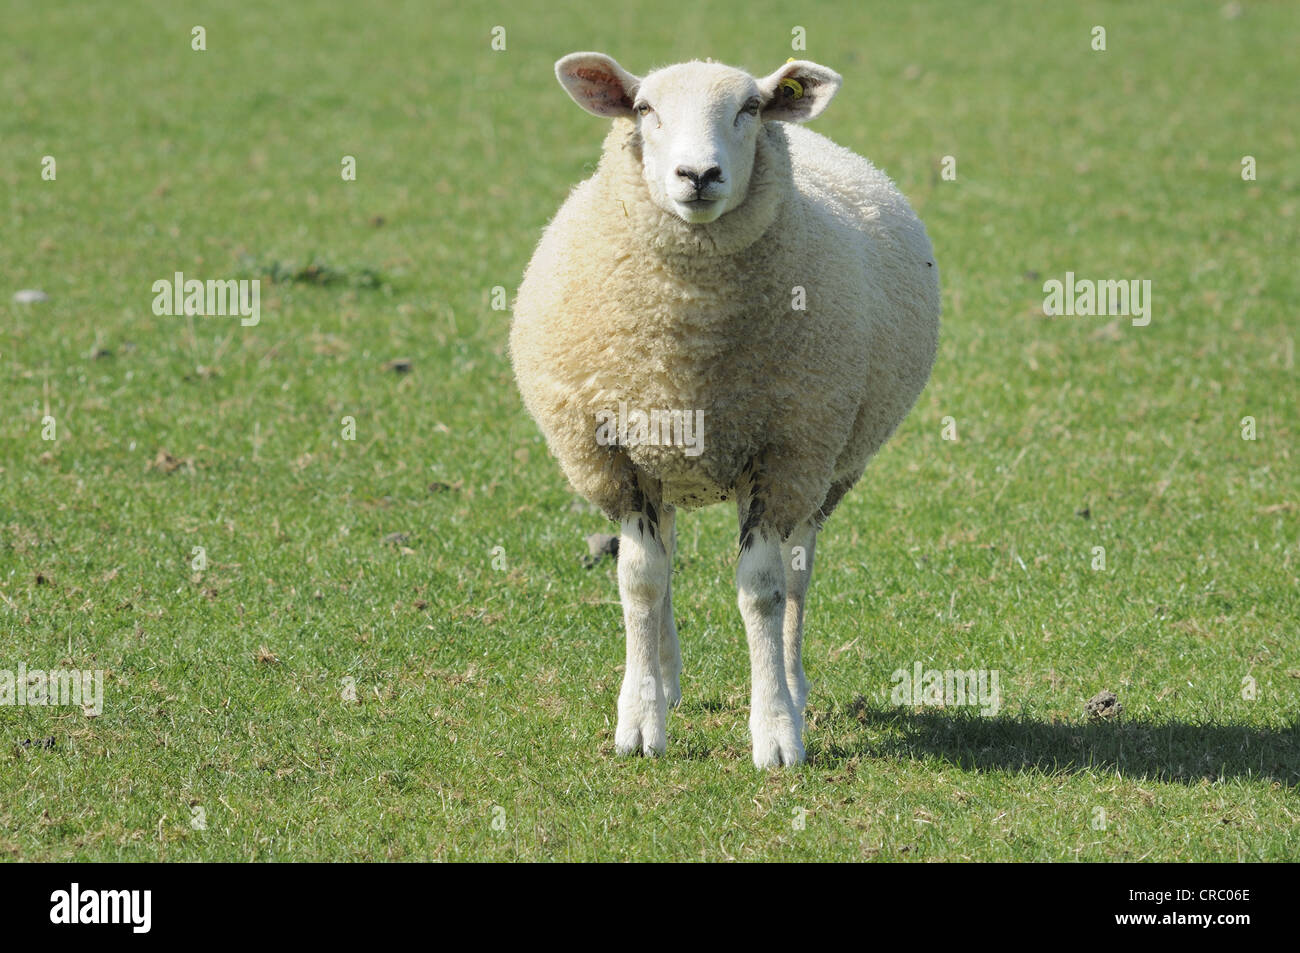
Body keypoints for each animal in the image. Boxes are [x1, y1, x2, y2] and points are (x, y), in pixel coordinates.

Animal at [510, 52, 940, 767]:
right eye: (645, 110)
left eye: (750, 108)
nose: (699, 175)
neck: (692, 340)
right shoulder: (618, 456)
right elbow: (641, 581)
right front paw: (640, 720)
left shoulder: (786, 455)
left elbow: (763, 591)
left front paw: (776, 731)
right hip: (667, 456)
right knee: (665, 559)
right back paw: (665, 677)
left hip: (825, 469)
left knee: (797, 576)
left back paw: (792, 684)